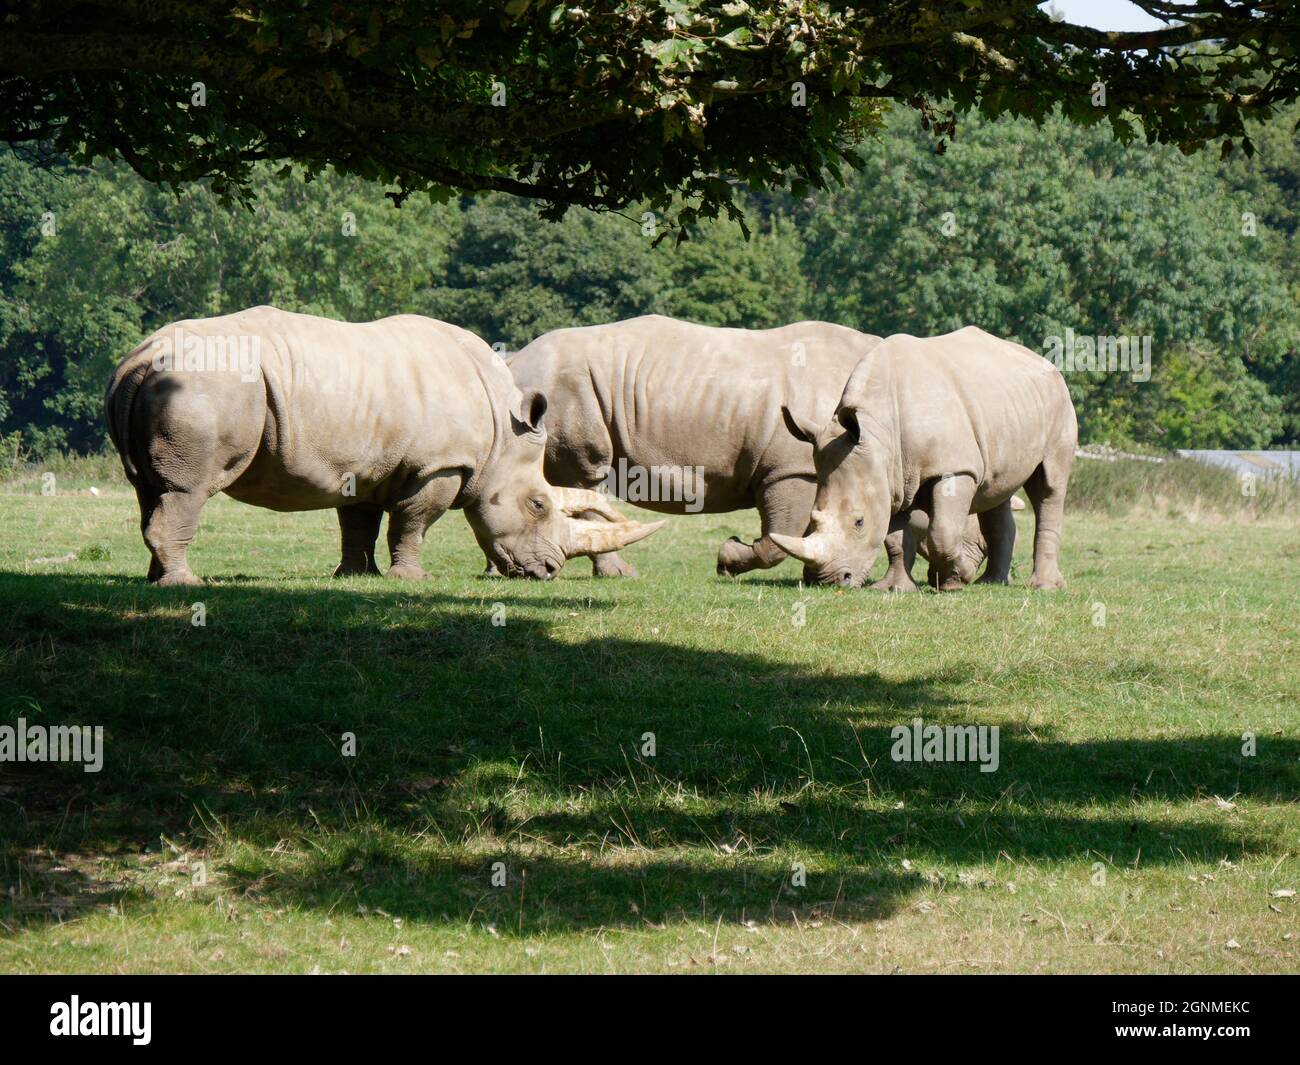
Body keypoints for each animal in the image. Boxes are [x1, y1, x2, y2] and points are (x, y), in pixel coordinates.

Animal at [104, 306, 663, 585]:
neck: (503, 437)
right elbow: (413, 522)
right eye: (538, 505)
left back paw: (156, 582)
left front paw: (355, 575)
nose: (547, 572)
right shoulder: (440, 466)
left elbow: (359, 522)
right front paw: (411, 580)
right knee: (188, 489)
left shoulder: (365, 463)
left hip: (168, 382)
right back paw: (186, 585)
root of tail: (141, 357)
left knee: (150, 490)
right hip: (203, 386)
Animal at [507, 314, 993, 585]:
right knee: (585, 475)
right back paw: (620, 576)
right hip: (564, 385)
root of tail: (514, 360)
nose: (969, 570)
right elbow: (780, 539)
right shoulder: (794, 469)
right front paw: (729, 558)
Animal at [772, 327, 1077, 590]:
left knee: (1049, 486)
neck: (877, 432)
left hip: (1059, 401)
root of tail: (1045, 362)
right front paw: (894, 588)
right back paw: (992, 582)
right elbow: (894, 538)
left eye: (859, 522)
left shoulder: (955, 469)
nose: (828, 581)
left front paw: (954, 581)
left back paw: (1044, 587)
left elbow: (943, 532)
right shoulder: (892, 476)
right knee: (996, 492)